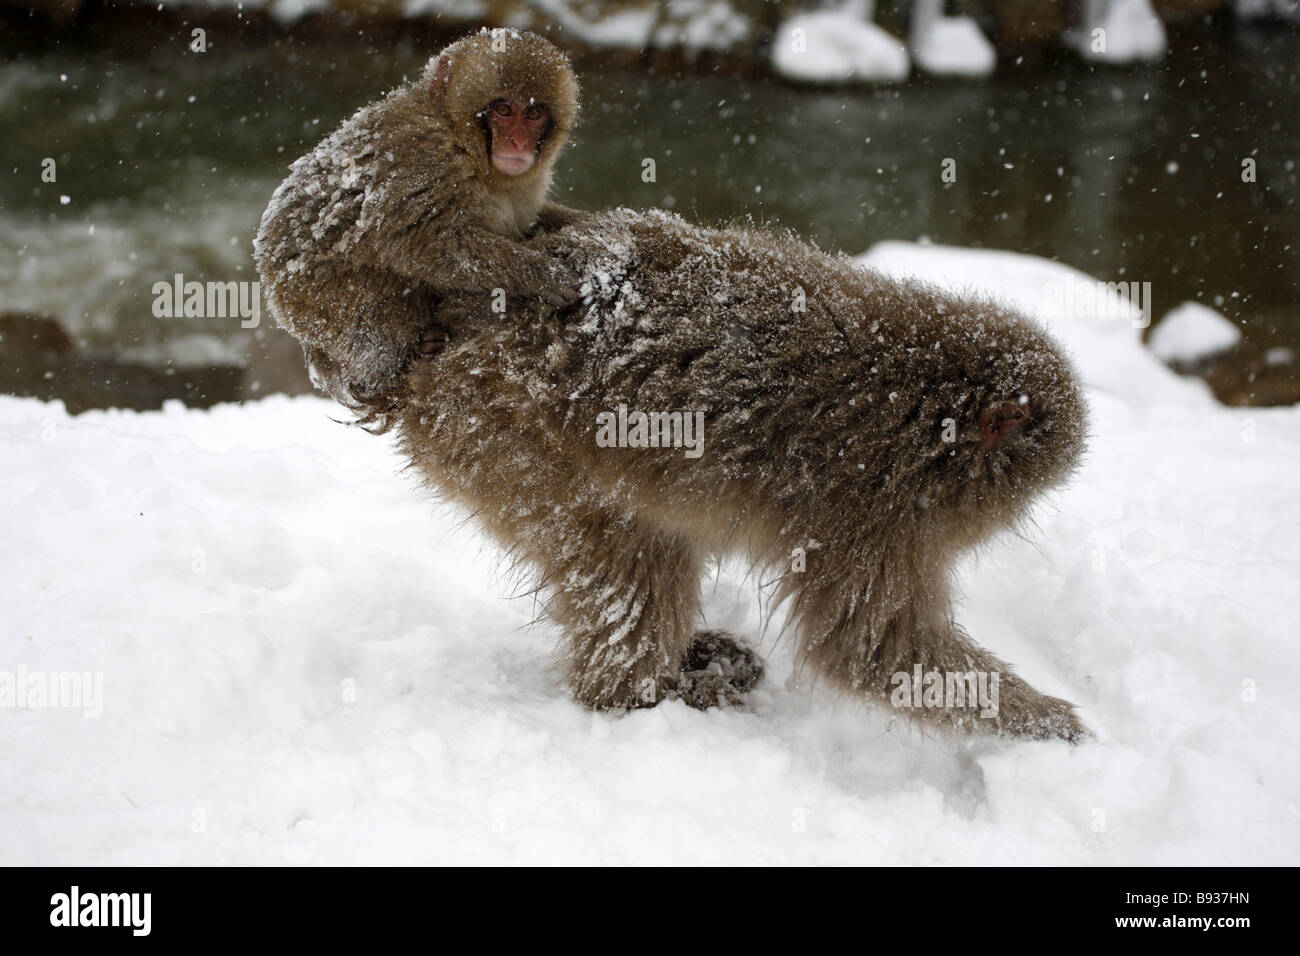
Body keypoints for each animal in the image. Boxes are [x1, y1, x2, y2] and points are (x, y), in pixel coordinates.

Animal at [252, 29, 584, 406]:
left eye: (533, 114)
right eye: (503, 110)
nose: (517, 142)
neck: (460, 138)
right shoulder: (422, 156)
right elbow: (424, 240)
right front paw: (539, 274)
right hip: (316, 307)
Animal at [391, 207, 1090, 740]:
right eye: (1023, 492)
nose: (1002, 525)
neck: (919, 403)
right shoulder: (871, 509)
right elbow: (872, 650)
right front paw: (1052, 726)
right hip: (500, 436)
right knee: (624, 557)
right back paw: (647, 696)